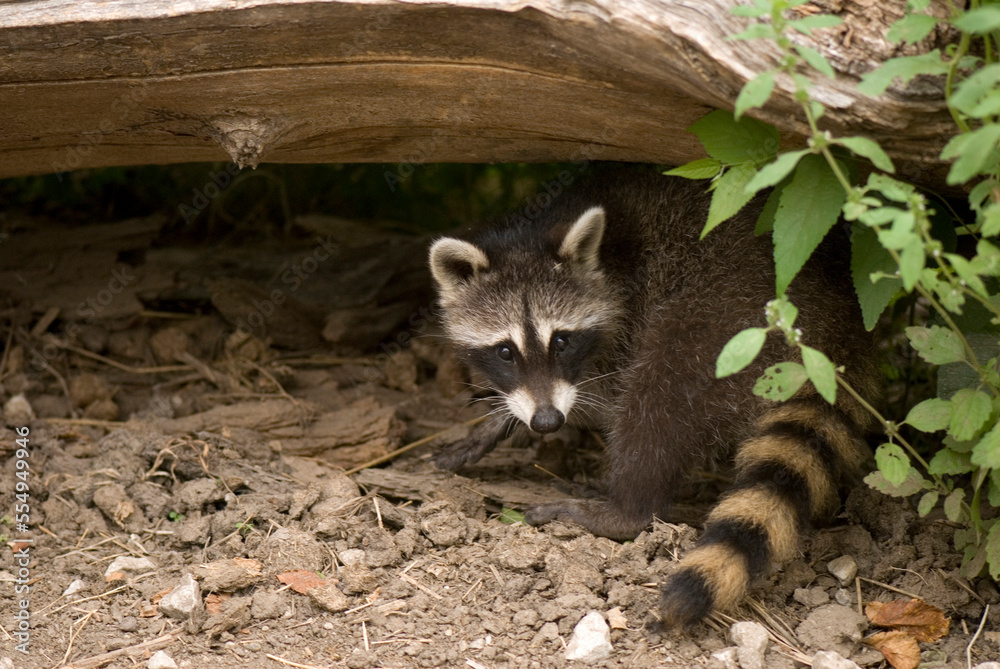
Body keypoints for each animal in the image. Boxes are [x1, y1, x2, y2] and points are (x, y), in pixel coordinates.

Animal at [428, 165, 881, 627]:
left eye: (562, 342)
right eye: (505, 351)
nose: (547, 421)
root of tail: (839, 322)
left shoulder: (626, 307)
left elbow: (607, 392)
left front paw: (522, 419)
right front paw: (501, 420)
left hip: (731, 322)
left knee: (660, 393)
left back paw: (623, 509)